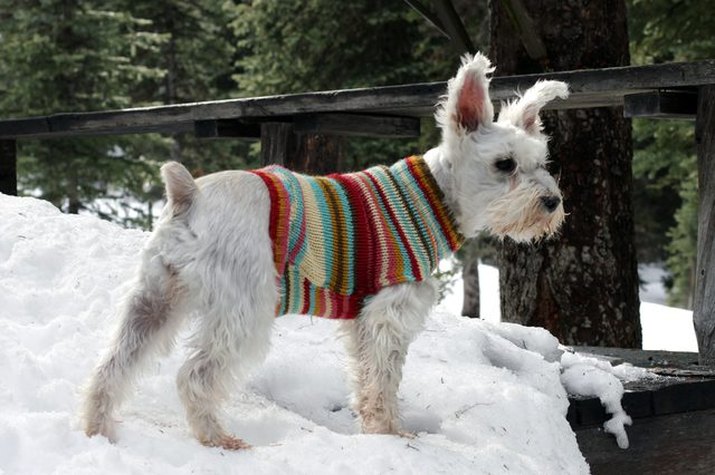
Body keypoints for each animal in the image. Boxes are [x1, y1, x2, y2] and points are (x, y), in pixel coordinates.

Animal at [81, 53, 568, 450]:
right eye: (504, 164)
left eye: (542, 162)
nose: (552, 201)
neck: (435, 195)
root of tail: (190, 196)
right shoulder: (390, 312)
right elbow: (385, 380)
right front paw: (391, 435)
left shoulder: (362, 321)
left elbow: (367, 378)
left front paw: (375, 430)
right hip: (242, 312)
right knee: (195, 376)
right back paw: (217, 438)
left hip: (154, 301)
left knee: (111, 366)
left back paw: (97, 431)